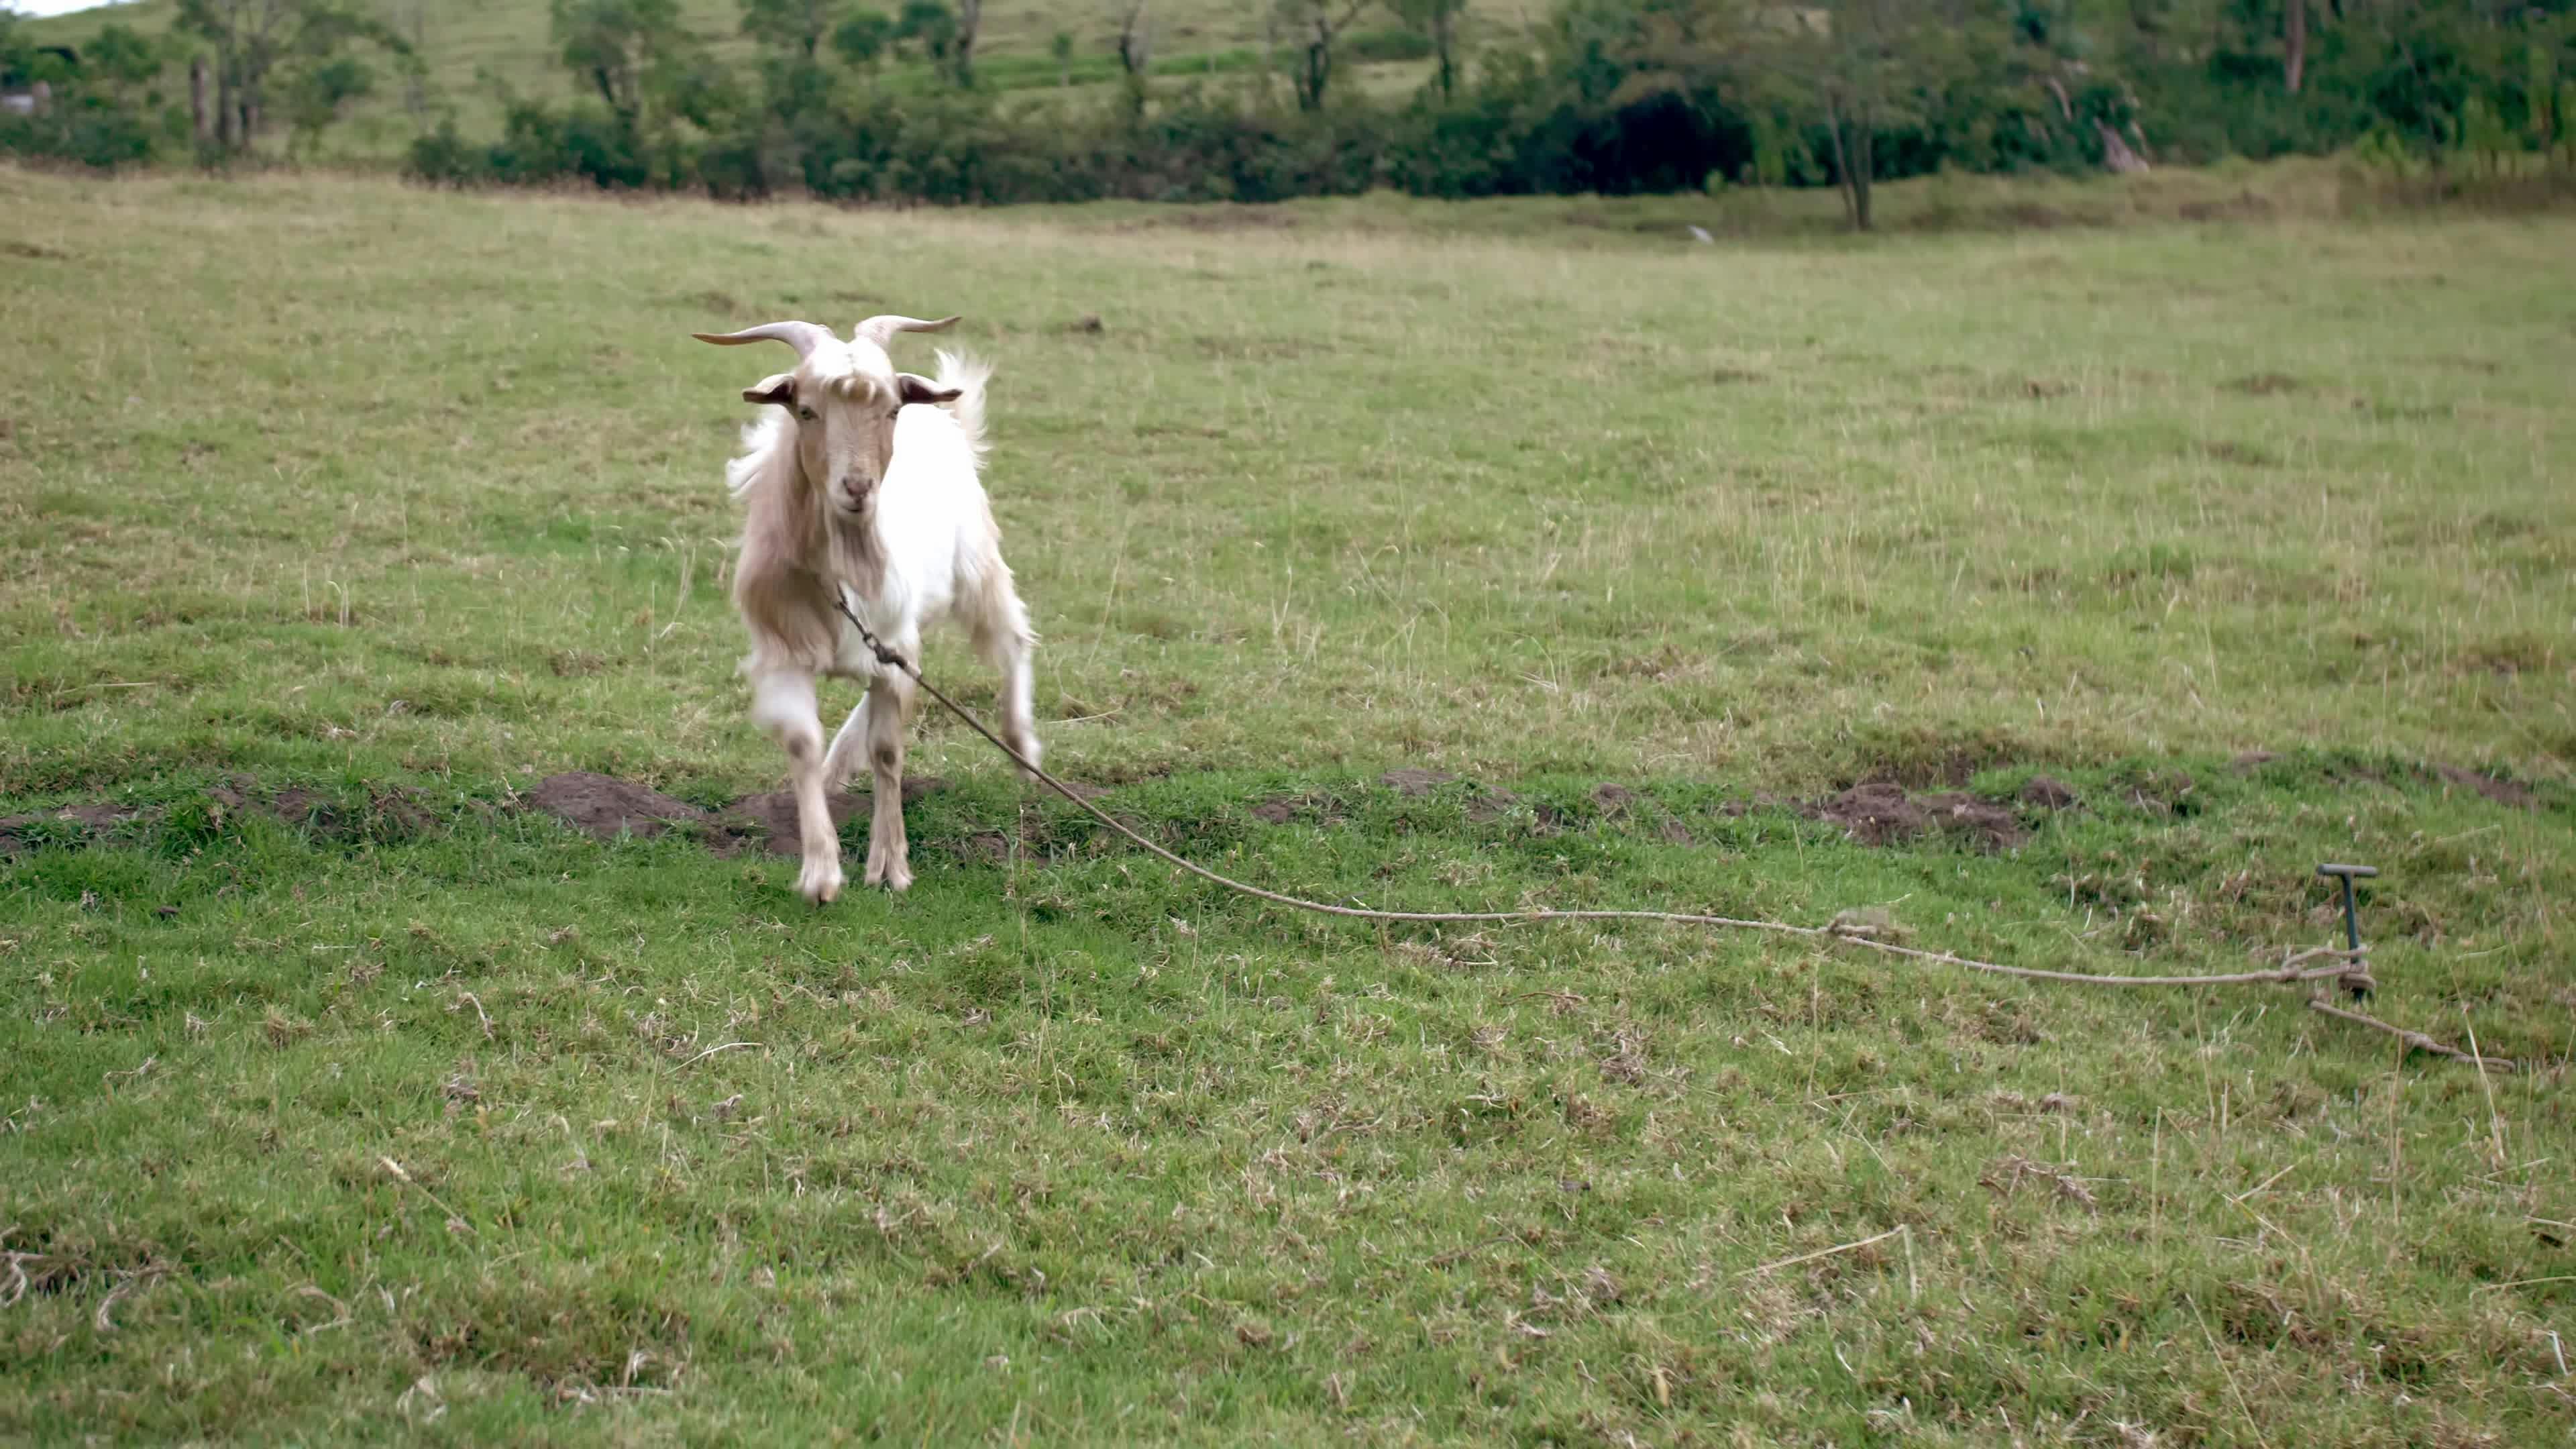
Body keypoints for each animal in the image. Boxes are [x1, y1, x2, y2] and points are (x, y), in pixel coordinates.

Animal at [693, 314, 1040, 904]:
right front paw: (820, 872)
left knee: (1012, 638)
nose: (857, 488)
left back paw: (1022, 747)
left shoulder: (894, 642)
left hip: (976, 567)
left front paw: (890, 865)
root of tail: (946, 418)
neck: (836, 573)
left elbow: (888, 752)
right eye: (806, 410)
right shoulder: (786, 653)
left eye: (892, 409)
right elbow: (802, 743)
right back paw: (838, 763)